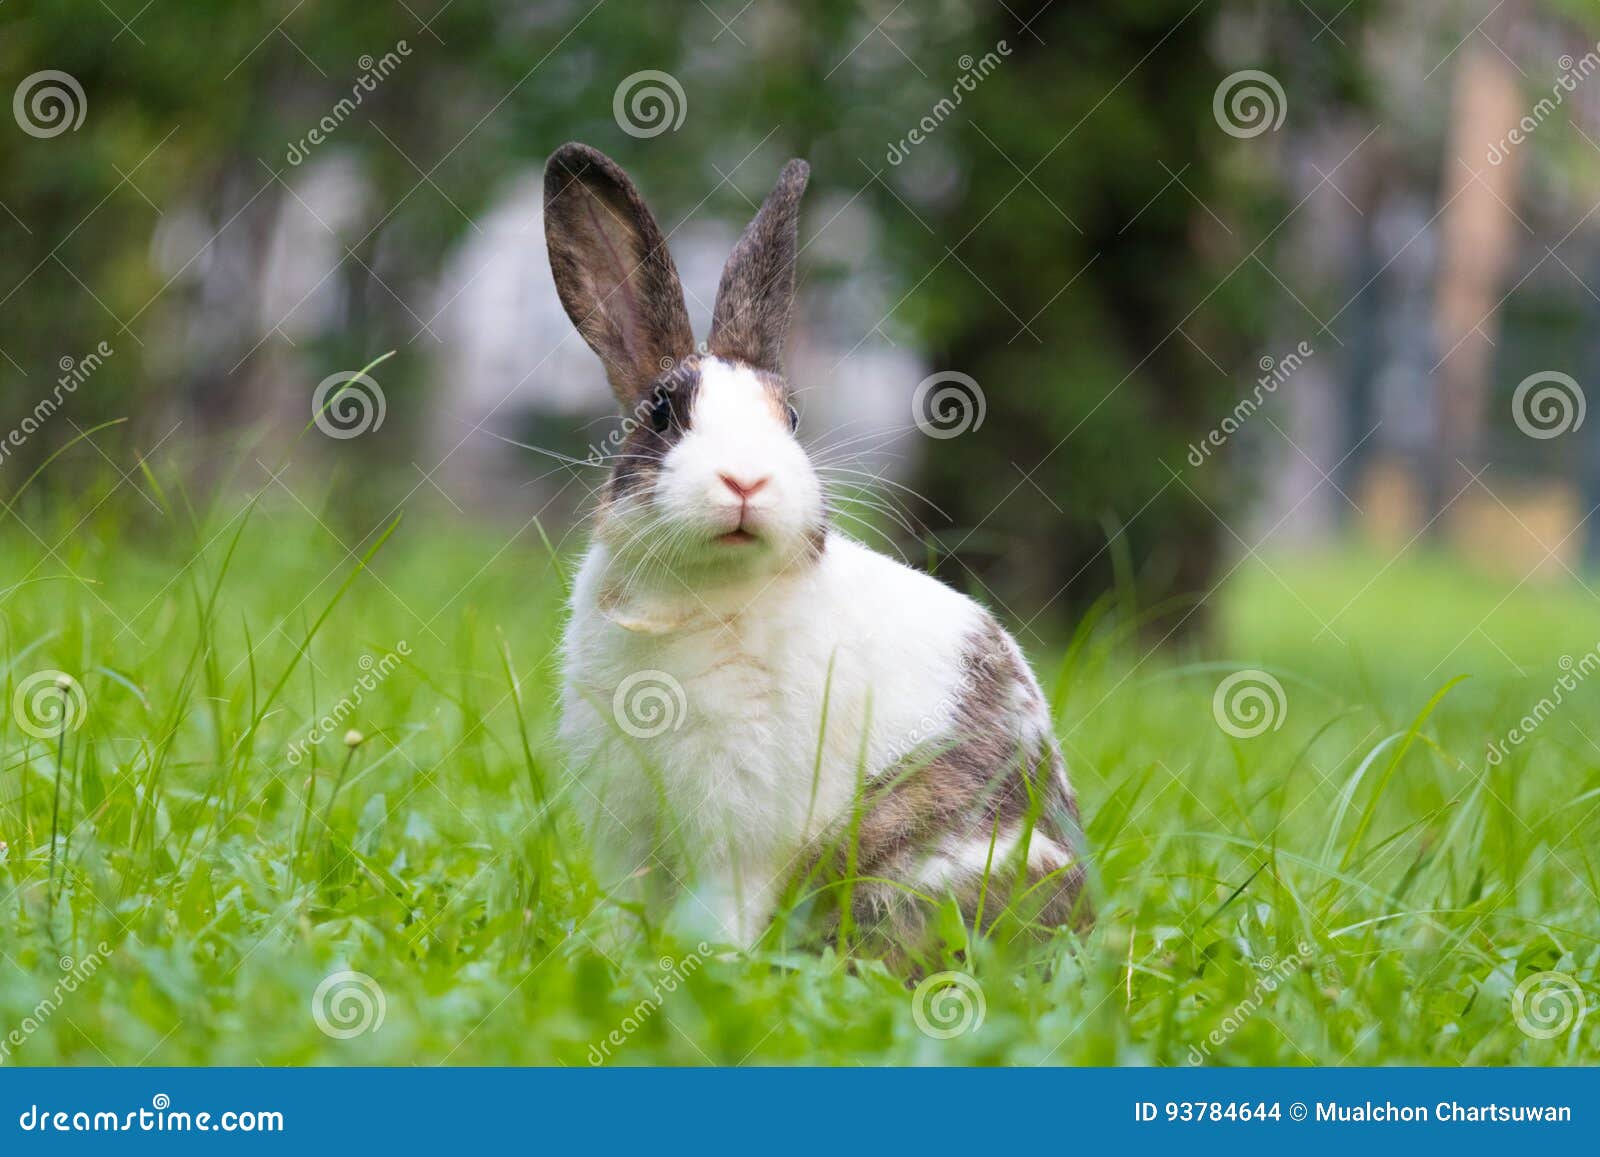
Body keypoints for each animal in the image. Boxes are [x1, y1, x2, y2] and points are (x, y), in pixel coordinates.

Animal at [544, 142, 1091, 958]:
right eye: (662, 412)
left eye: (792, 416)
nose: (746, 479)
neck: (698, 592)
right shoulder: (625, 829)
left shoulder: (739, 839)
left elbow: (723, 912)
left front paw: (707, 966)